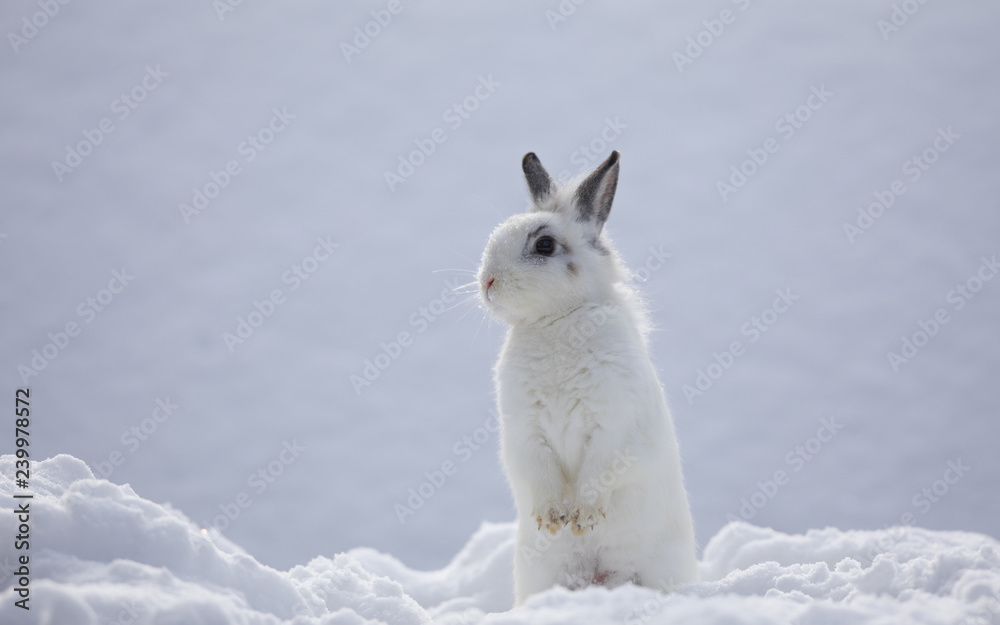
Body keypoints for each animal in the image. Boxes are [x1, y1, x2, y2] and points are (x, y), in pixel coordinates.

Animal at [477, 151, 698, 605]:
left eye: (544, 245)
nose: (486, 281)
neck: (556, 322)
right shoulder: (525, 431)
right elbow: (537, 470)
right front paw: (553, 519)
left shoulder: (613, 423)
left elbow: (601, 469)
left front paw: (580, 520)